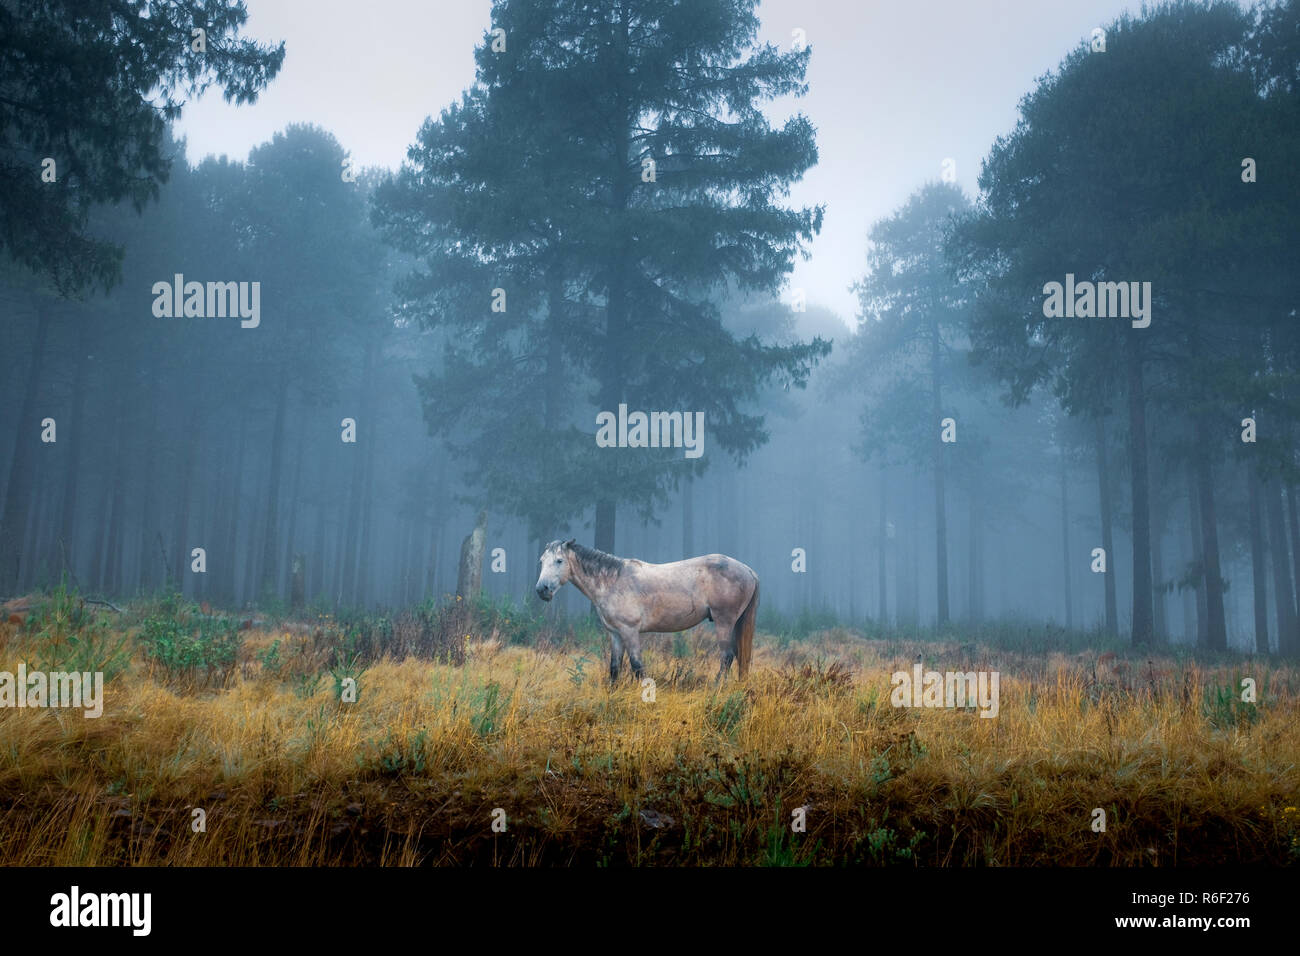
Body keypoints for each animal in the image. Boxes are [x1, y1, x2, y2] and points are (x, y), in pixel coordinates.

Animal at [535, 539, 759, 684]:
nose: (542, 590)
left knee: (727, 657)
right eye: (542, 561)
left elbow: (636, 666)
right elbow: (615, 667)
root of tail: (748, 570)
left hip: (724, 621)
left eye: (559, 561)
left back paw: (716, 687)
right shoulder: (615, 633)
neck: (612, 581)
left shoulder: (630, 631)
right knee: (739, 657)